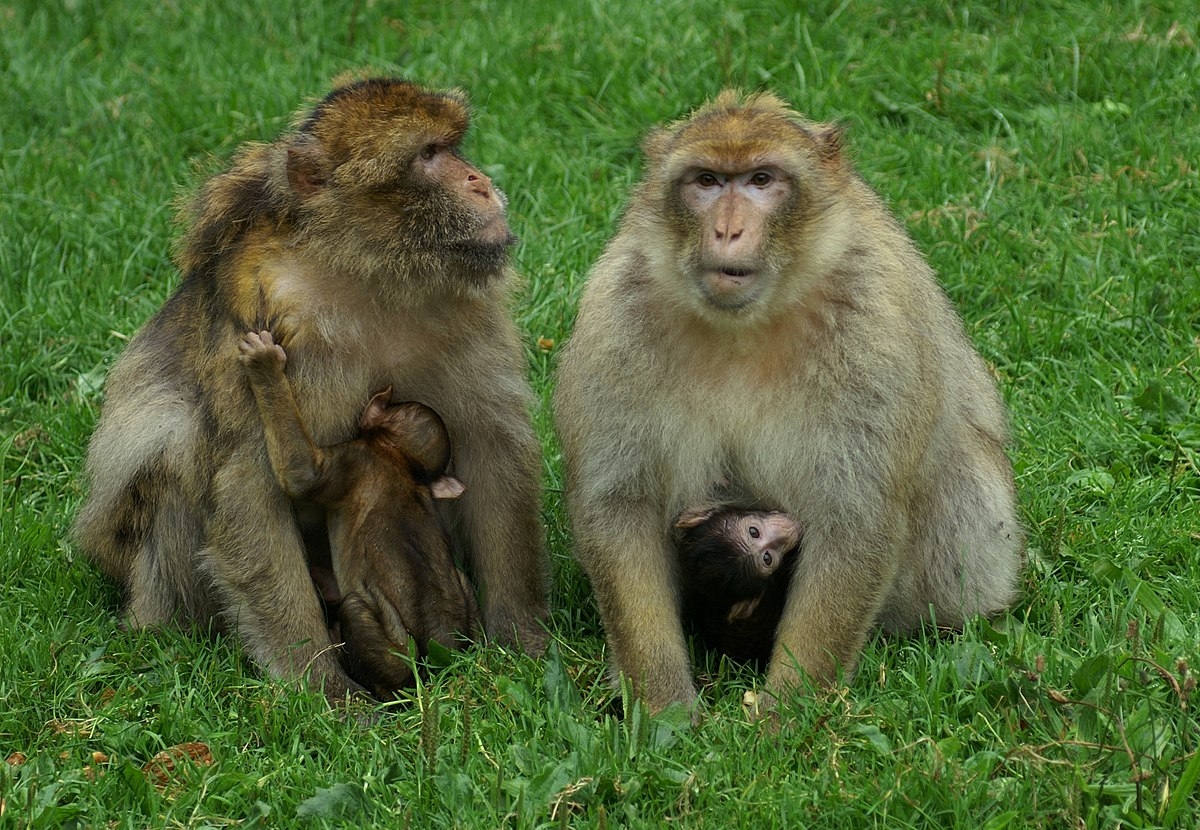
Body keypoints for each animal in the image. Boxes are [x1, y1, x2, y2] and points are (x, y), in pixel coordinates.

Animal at [236, 328, 480, 695]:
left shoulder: (355, 457)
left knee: (356, 612)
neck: (398, 461)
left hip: (391, 657)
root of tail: (438, 657)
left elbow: (302, 475)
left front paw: (264, 365)